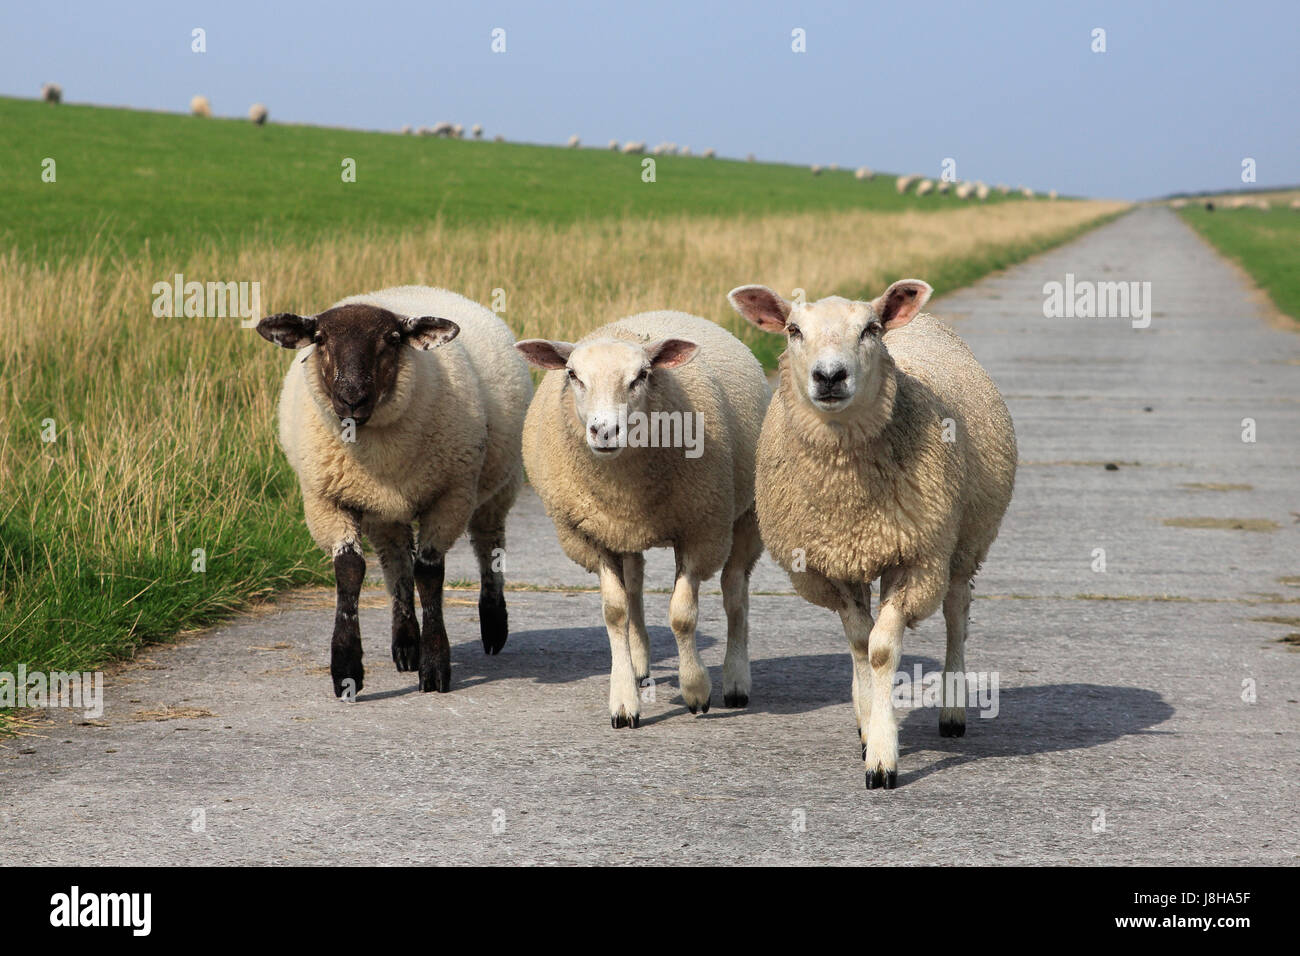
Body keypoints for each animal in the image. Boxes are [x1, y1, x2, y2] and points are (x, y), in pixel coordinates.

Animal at [255, 286, 532, 698]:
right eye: (320, 339)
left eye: (392, 339)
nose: (351, 397)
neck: (376, 449)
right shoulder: (328, 502)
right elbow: (350, 571)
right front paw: (347, 669)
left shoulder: (449, 498)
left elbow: (430, 574)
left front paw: (435, 668)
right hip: (381, 512)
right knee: (396, 564)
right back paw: (405, 645)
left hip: (498, 485)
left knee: (488, 546)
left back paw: (493, 624)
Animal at [516, 312, 769, 728]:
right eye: (572, 374)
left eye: (642, 375)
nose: (604, 431)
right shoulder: (591, 535)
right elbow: (615, 612)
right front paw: (623, 701)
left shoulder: (700, 529)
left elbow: (682, 616)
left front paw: (695, 689)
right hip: (624, 533)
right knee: (634, 588)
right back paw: (638, 664)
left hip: (746, 515)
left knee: (734, 592)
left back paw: (735, 680)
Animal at [727, 280, 1017, 789]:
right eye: (793, 330)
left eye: (870, 329)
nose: (829, 376)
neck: (848, 492)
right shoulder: (830, 565)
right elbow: (860, 643)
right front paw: (868, 727)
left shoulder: (919, 558)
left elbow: (881, 650)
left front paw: (882, 758)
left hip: (962, 543)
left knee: (957, 615)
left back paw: (953, 712)